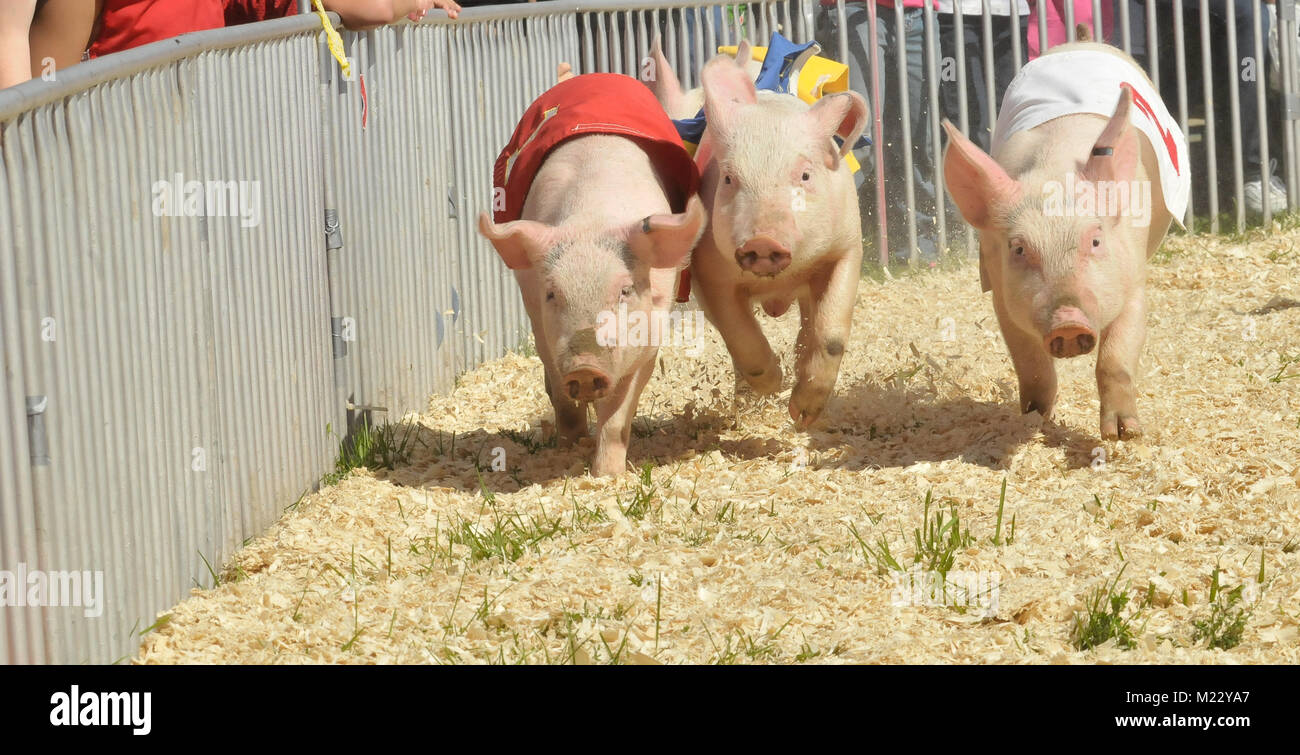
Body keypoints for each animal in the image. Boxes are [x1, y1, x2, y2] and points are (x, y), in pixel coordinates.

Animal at [479, 72, 706, 476]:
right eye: (552, 293)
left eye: (625, 291)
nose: (585, 366)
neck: (593, 218)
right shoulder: (539, 318)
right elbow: (559, 388)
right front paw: (569, 451)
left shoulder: (651, 331)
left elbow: (618, 414)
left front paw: (606, 474)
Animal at [679, 51, 869, 427]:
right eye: (728, 179)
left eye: (806, 175)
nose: (763, 240)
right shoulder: (708, 271)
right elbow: (739, 334)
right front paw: (771, 384)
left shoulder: (846, 248)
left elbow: (831, 333)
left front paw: (803, 416)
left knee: (809, 325)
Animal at [943, 40, 1189, 440]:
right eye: (1019, 248)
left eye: (1096, 241)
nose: (1069, 322)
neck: (1054, 170)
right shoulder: (1001, 293)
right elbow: (1032, 365)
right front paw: (1033, 421)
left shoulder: (1133, 276)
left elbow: (1116, 357)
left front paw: (1124, 434)